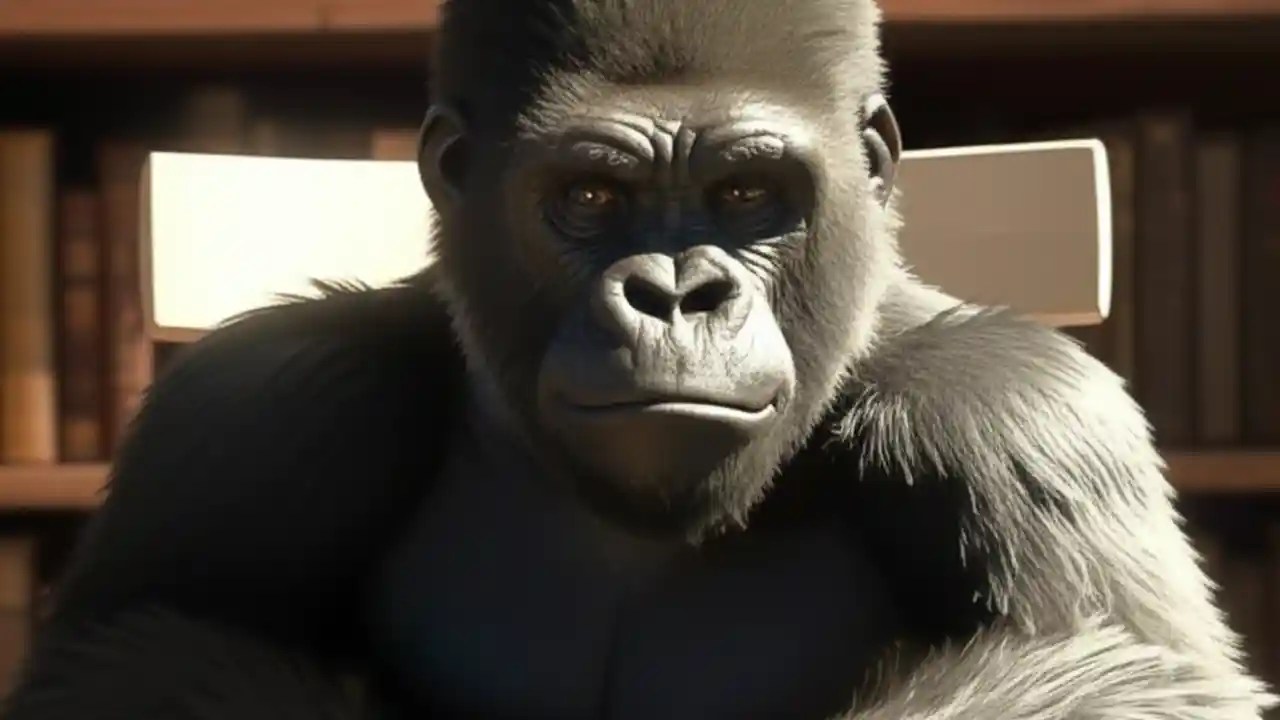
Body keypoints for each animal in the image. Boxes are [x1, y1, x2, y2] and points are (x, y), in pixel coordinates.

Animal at [3, 0, 1274, 718]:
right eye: (589, 197)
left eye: (748, 194)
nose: (675, 293)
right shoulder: (262, 406)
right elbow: (119, 661)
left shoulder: (1008, 412)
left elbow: (1146, 681)